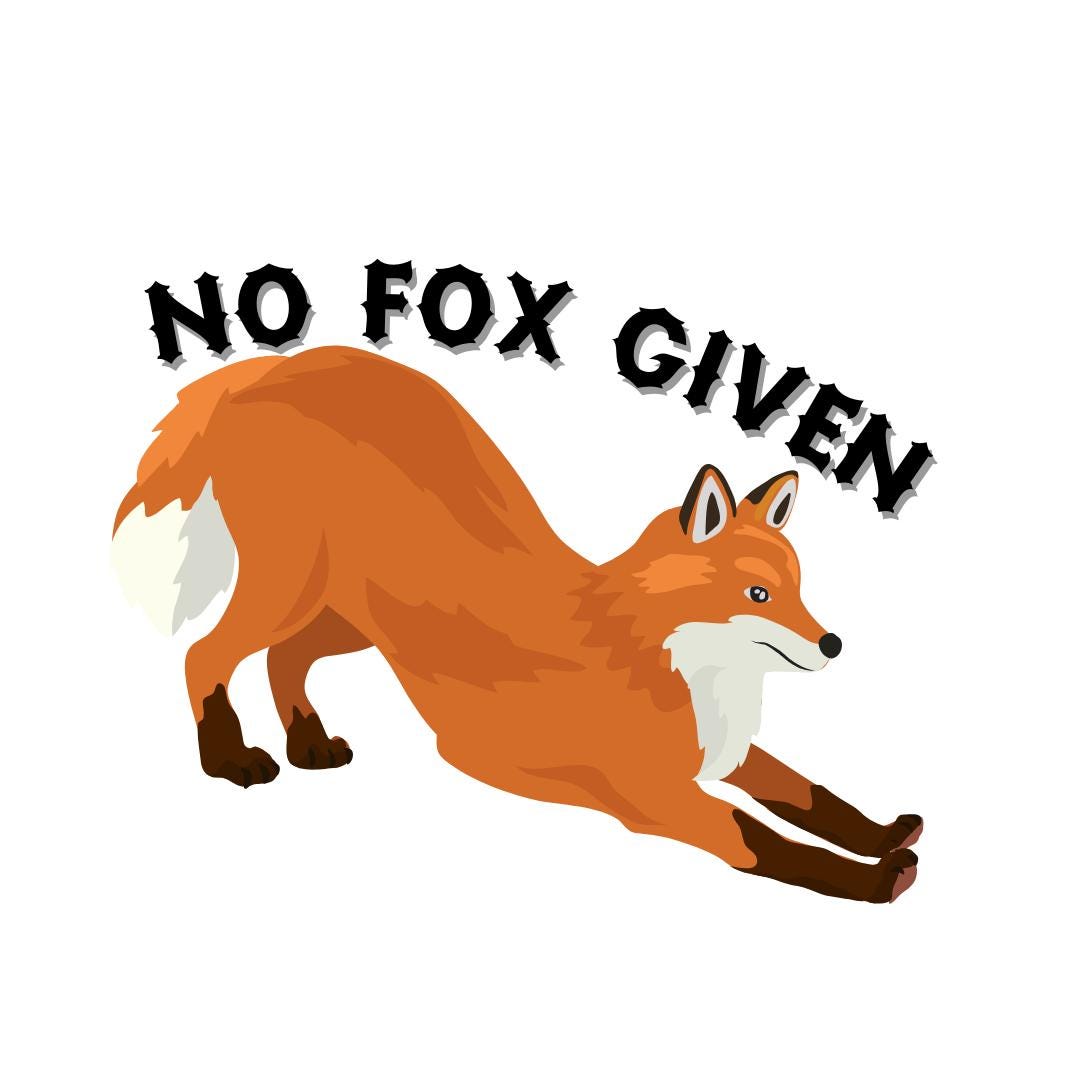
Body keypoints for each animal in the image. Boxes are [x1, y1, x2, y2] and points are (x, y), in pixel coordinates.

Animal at [112, 345, 922, 903]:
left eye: (798, 588)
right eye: (757, 593)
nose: (833, 643)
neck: (669, 660)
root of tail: (280, 366)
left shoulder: (719, 753)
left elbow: (813, 795)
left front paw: (885, 834)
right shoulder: (655, 796)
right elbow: (768, 841)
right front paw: (879, 879)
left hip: (351, 620)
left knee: (284, 659)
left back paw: (310, 745)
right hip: (295, 591)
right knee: (206, 656)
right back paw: (230, 760)